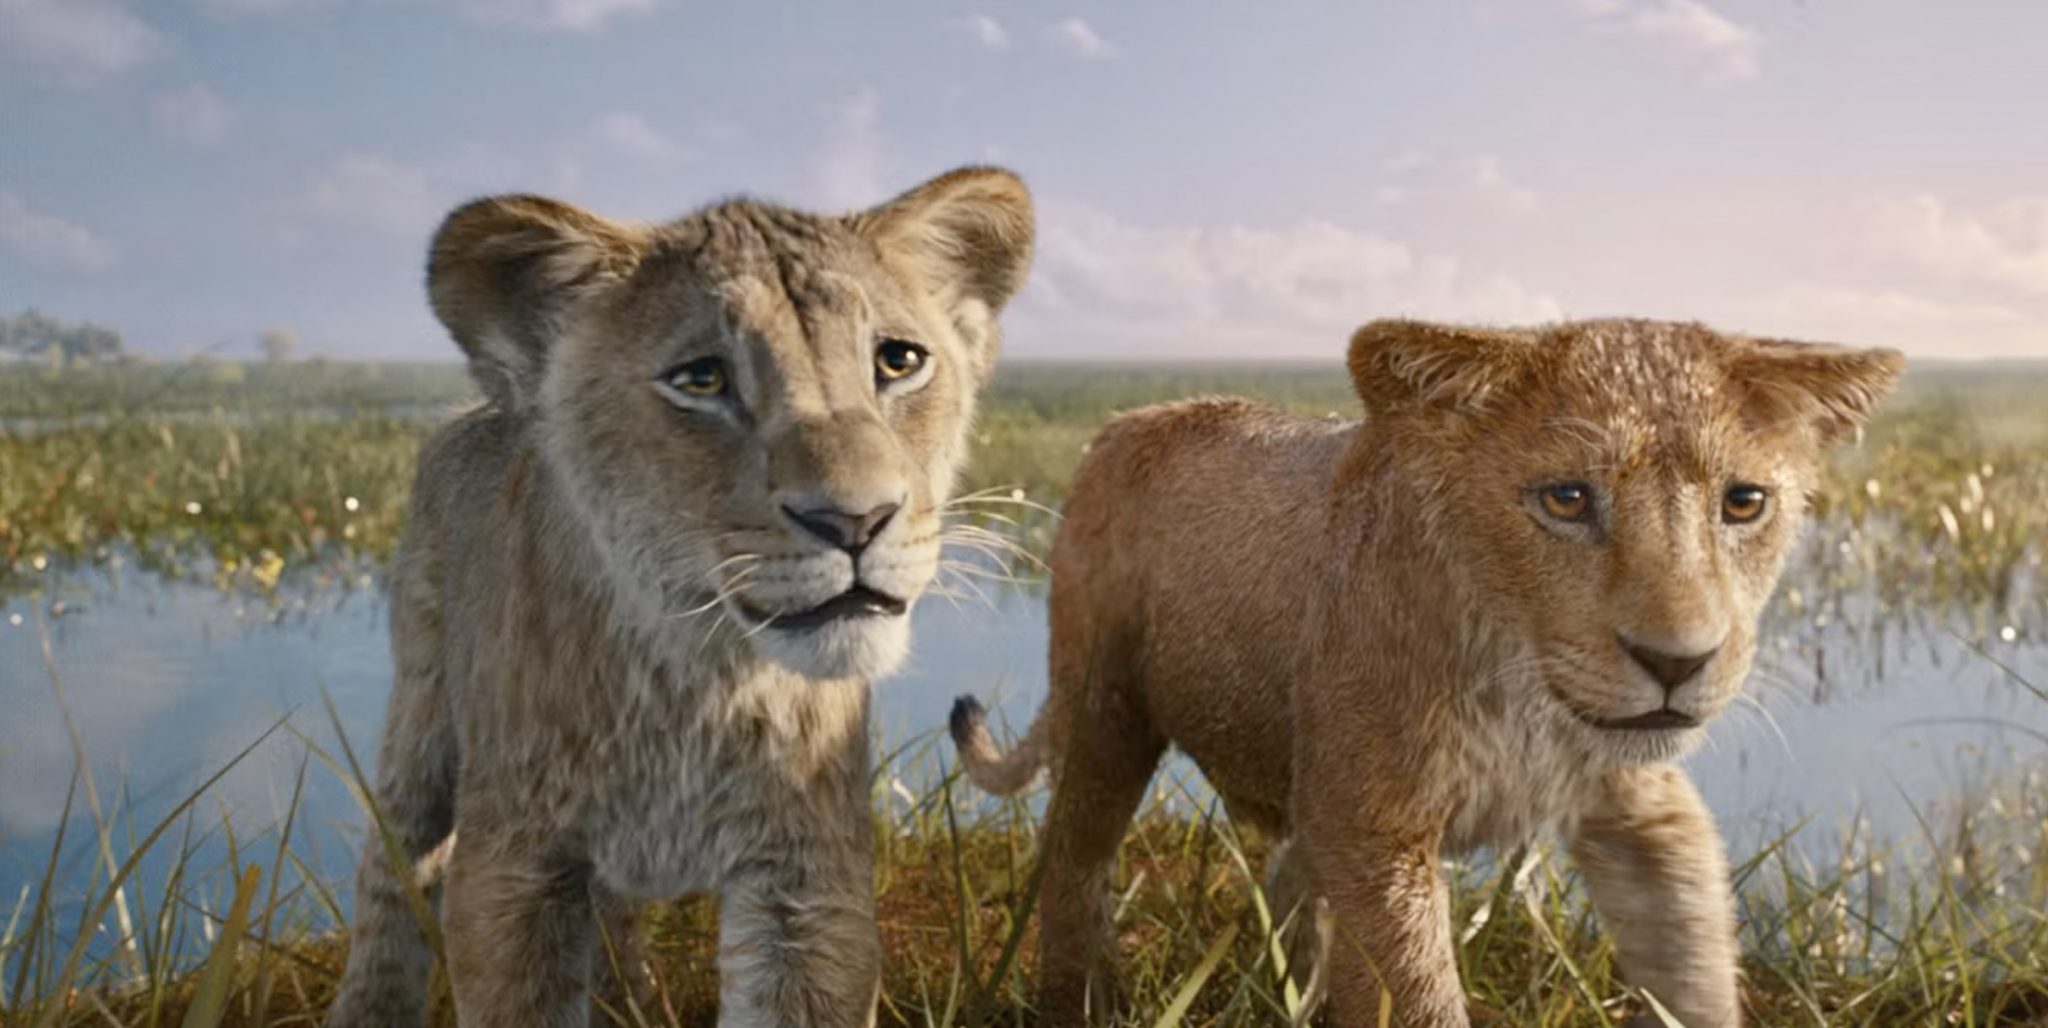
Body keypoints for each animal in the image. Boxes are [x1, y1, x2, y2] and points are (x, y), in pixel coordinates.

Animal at [323, 166, 1034, 1028]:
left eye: (898, 361)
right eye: (702, 379)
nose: (857, 521)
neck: (693, 679)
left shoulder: (805, 880)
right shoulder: (513, 871)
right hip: (420, 715)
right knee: (392, 872)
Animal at [950, 318, 1902, 1027]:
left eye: (1744, 502)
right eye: (1566, 499)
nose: (1678, 661)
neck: (1522, 688)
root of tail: (1131, 417)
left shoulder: (1643, 808)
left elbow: (1694, 963)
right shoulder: (1378, 833)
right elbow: (1416, 996)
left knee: (1289, 881)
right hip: (1103, 707)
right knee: (1074, 861)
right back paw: (1074, 1001)